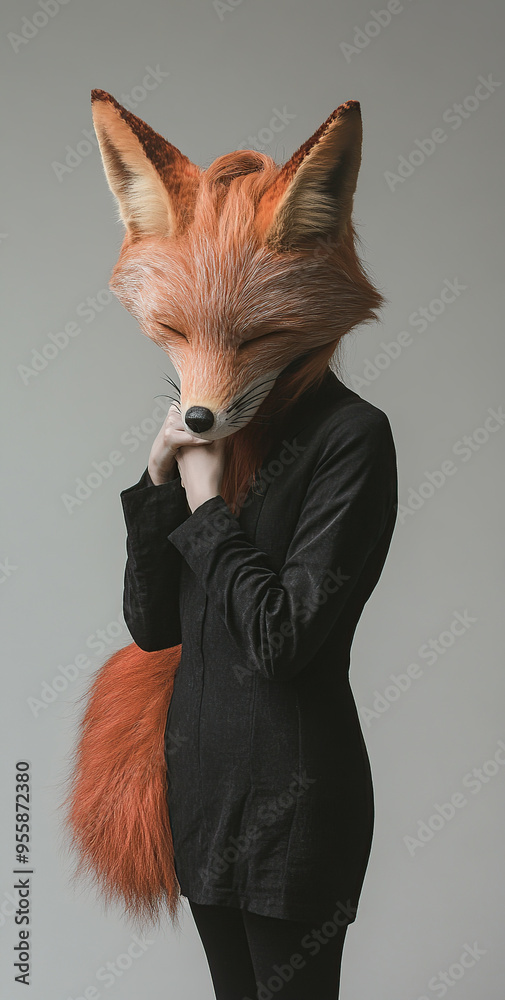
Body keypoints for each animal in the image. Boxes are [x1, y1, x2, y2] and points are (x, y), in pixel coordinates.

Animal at [60, 90, 385, 933]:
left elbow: (283, 620)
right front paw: (169, 457)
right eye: (174, 330)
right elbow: (154, 623)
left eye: (261, 335)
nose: (200, 418)